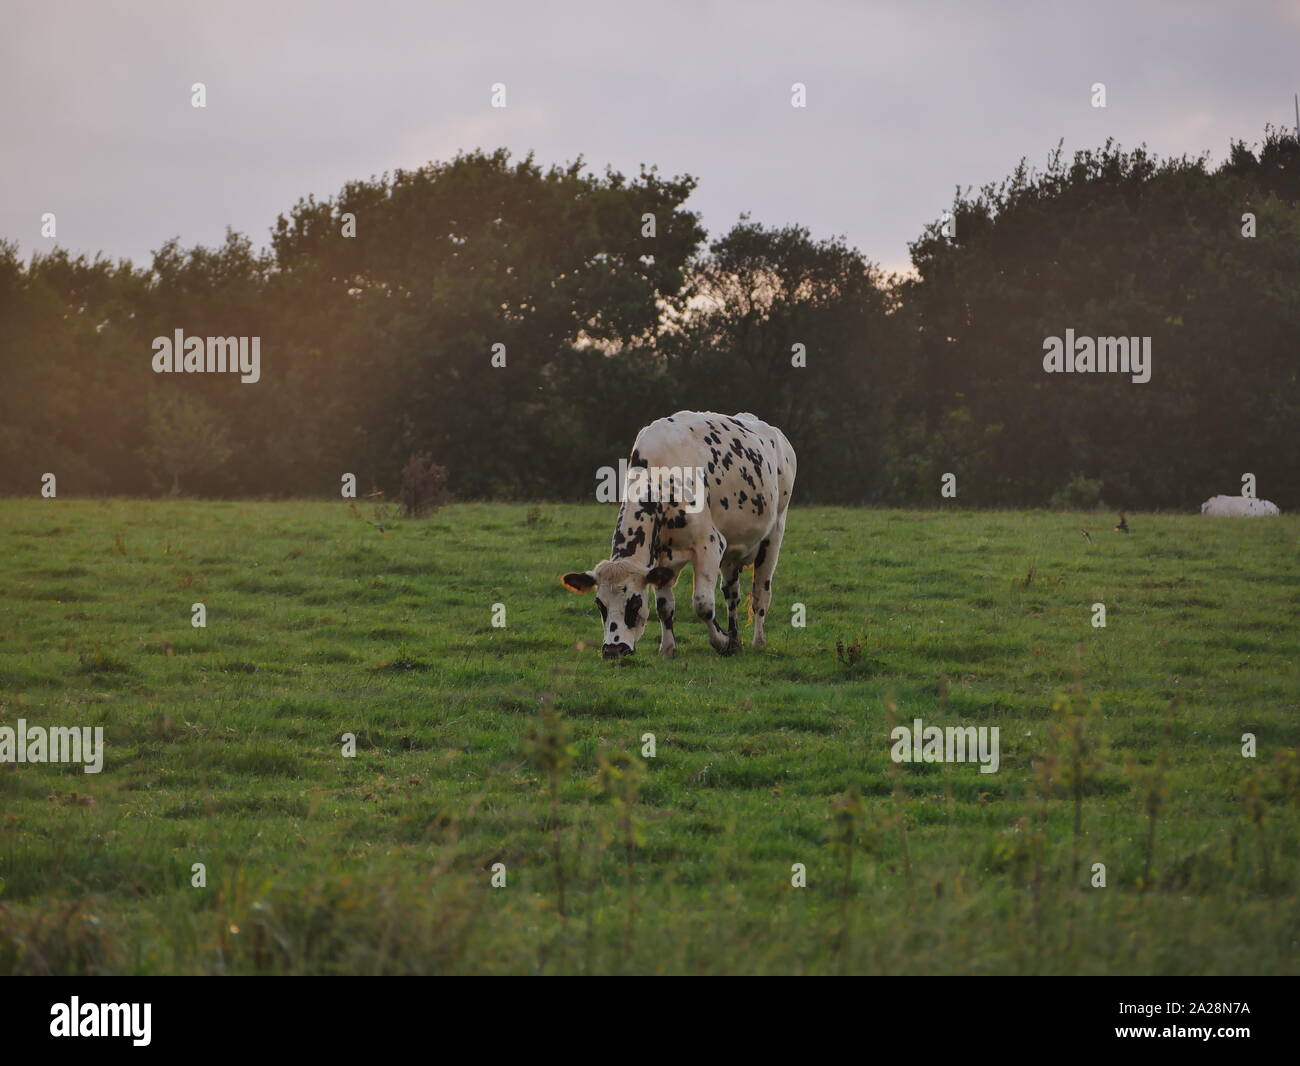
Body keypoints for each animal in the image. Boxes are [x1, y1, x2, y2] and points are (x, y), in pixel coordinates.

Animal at [562, 411, 796, 659]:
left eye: (634, 603)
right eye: (600, 604)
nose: (613, 649)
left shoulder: (709, 544)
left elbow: (703, 604)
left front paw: (721, 641)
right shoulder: (660, 558)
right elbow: (664, 606)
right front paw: (668, 648)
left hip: (774, 534)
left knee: (760, 593)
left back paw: (758, 642)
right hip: (732, 549)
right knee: (731, 593)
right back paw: (735, 639)